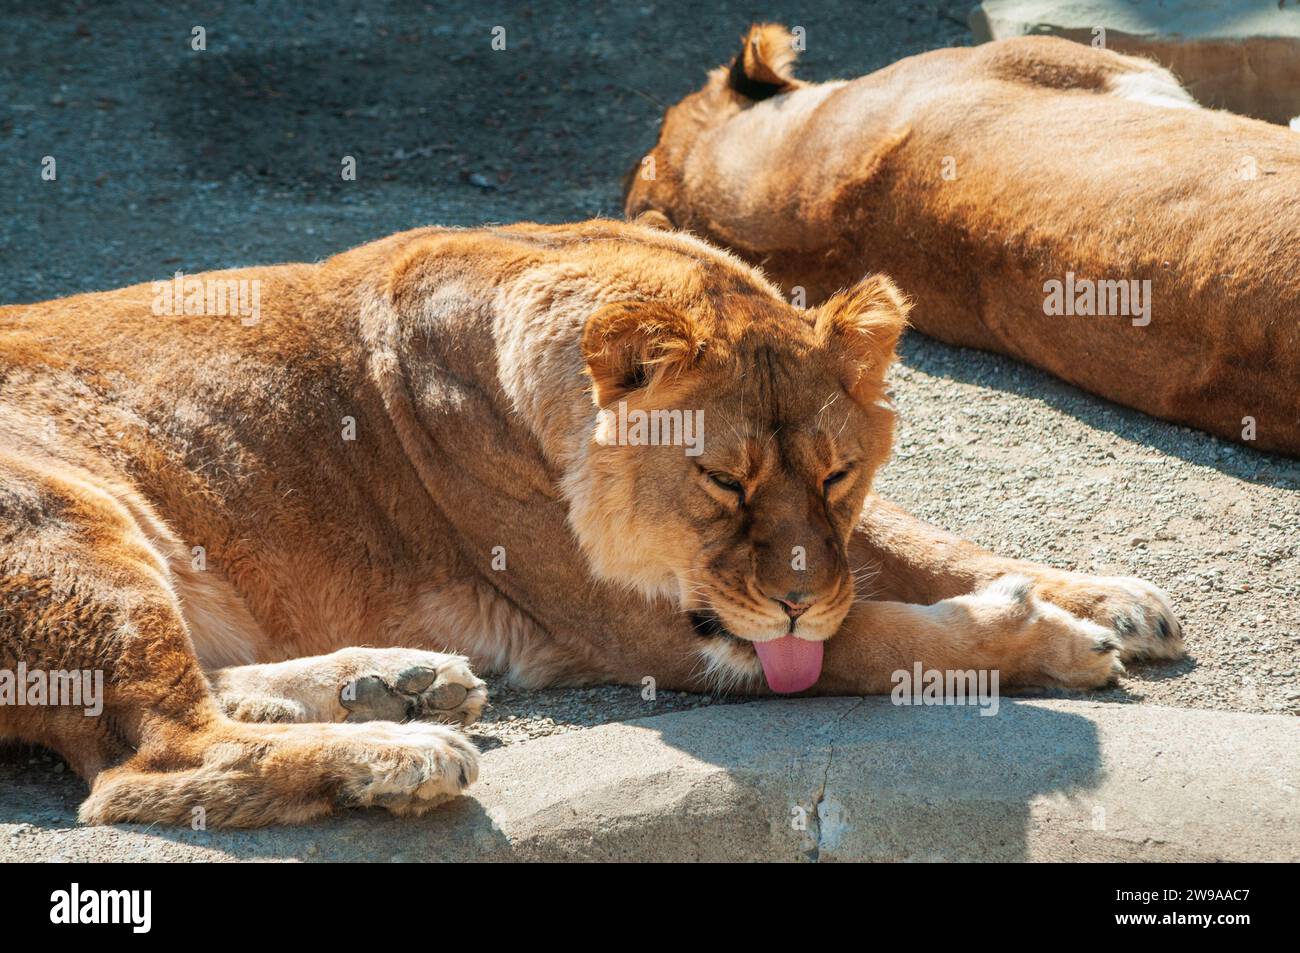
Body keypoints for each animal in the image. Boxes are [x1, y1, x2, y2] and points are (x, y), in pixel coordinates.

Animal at [0, 220, 1183, 827]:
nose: (796, 596)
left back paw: (394, 682)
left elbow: (918, 546)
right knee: (149, 761)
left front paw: (1113, 596)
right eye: (721, 480)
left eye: (838, 471)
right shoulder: (656, 629)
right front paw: (1051, 639)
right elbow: (878, 638)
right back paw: (400, 751)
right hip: (70, 515)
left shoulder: (828, 553)